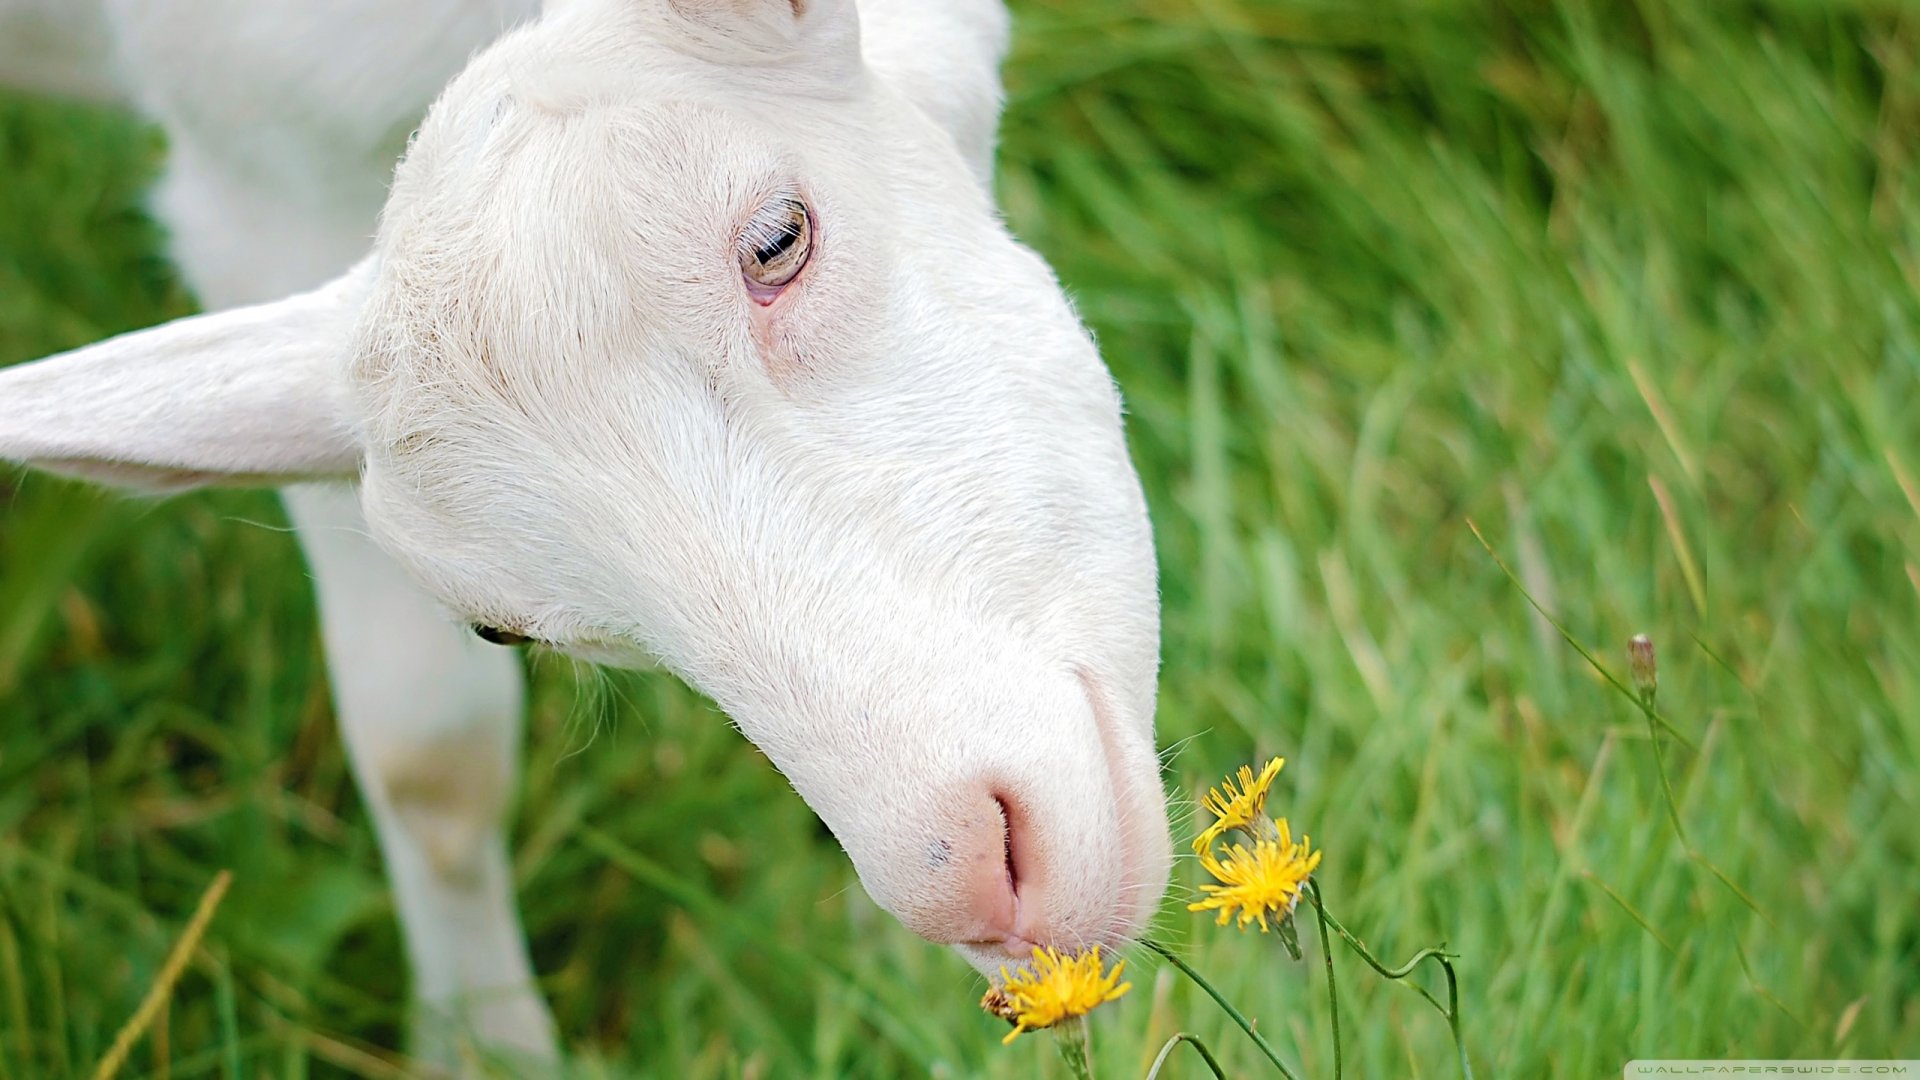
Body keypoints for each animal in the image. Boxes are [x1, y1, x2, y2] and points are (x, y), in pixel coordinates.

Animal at [0, 0, 1170, 1063]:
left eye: (778, 239)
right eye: (502, 631)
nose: (977, 880)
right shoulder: (256, 174)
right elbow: (430, 763)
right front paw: (487, 1049)